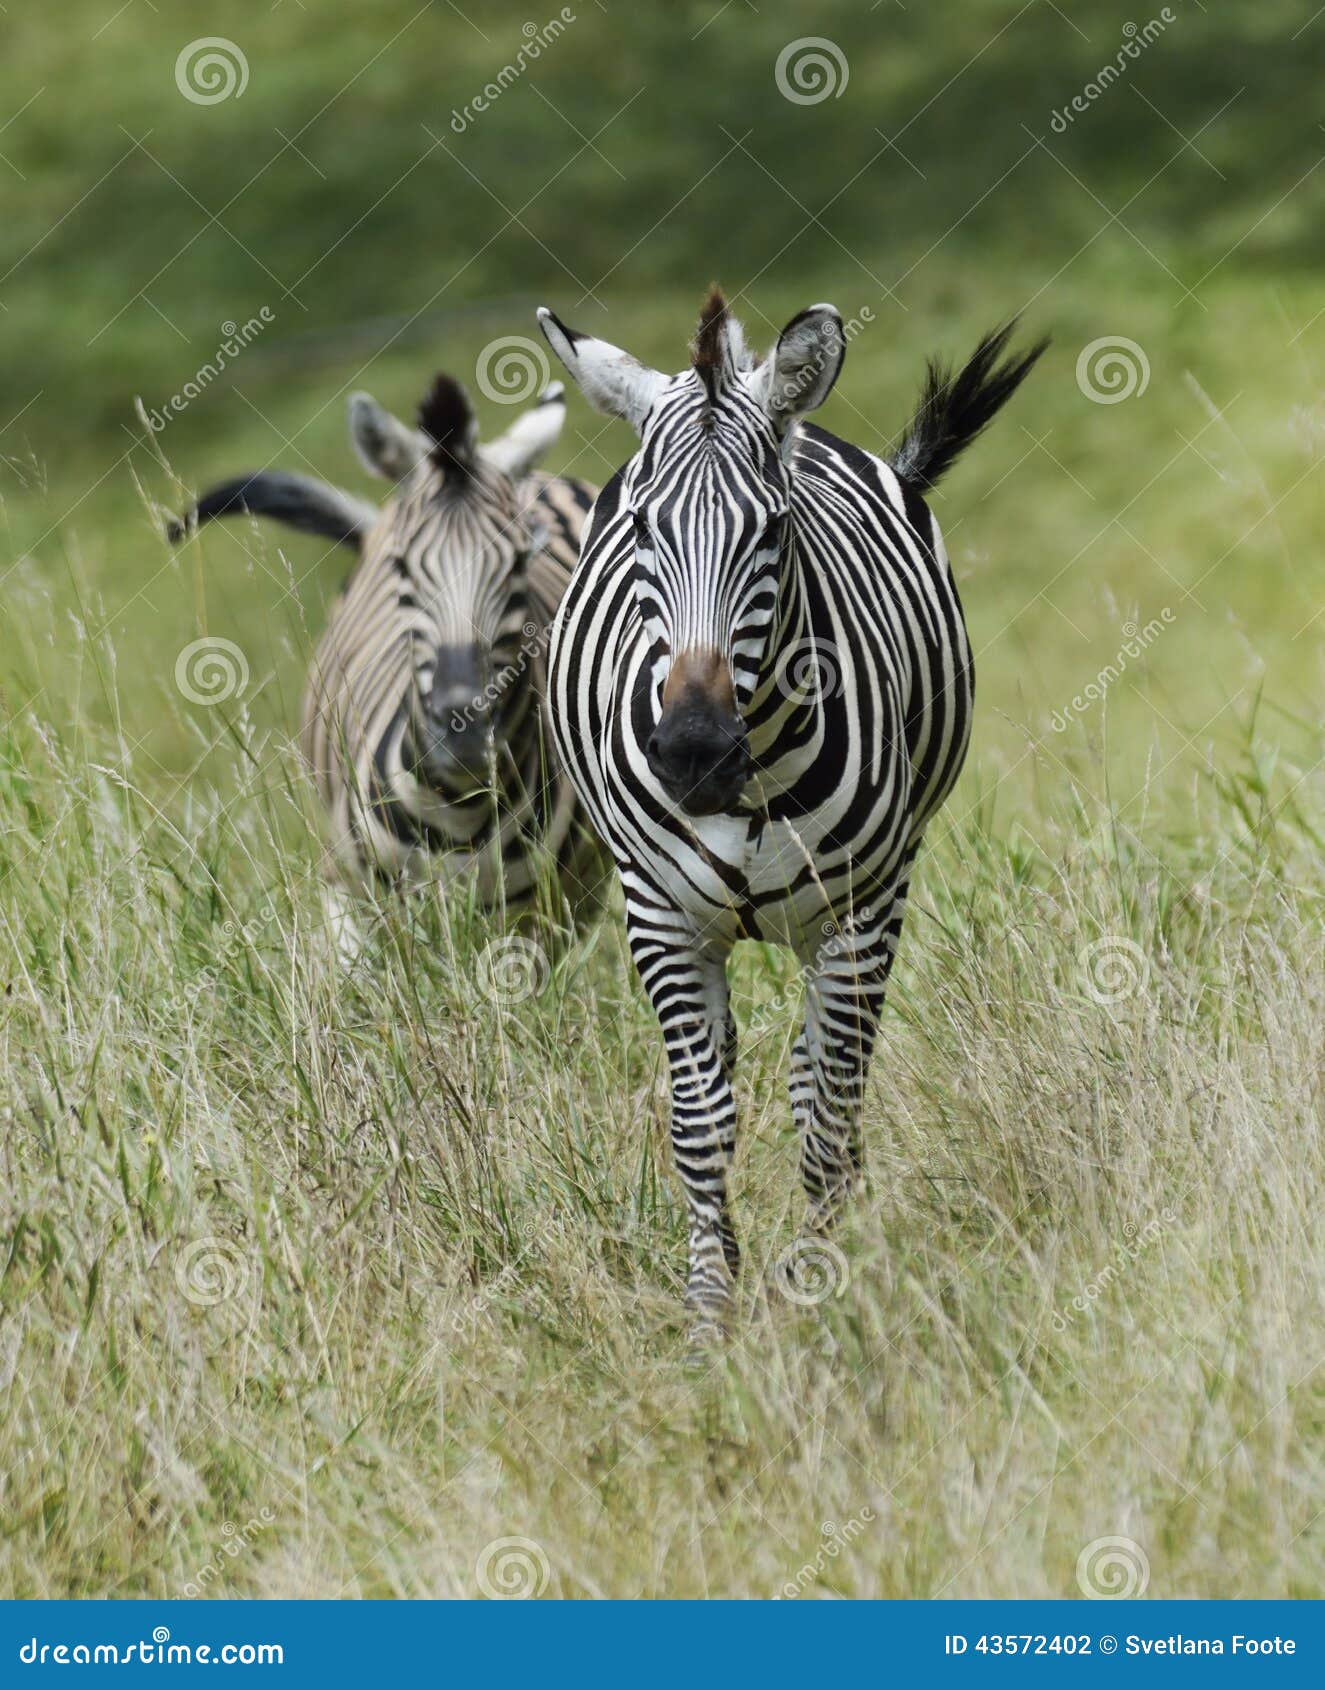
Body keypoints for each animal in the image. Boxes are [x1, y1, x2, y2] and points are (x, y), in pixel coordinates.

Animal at [169, 373, 602, 921]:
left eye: (521, 563)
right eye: (400, 568)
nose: (463, 730)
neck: (460, 812)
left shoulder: (537, 914)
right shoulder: (344, 892)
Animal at [537, 288, 1044, 1320]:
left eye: (771, 532)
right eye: (642, 531)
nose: (693, 752)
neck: (751, 779)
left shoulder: (859, 912)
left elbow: (826, 1112)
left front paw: (820, 1290)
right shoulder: (660, 922)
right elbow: (699, 1125)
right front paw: (708, 1311)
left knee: (821, 1082)